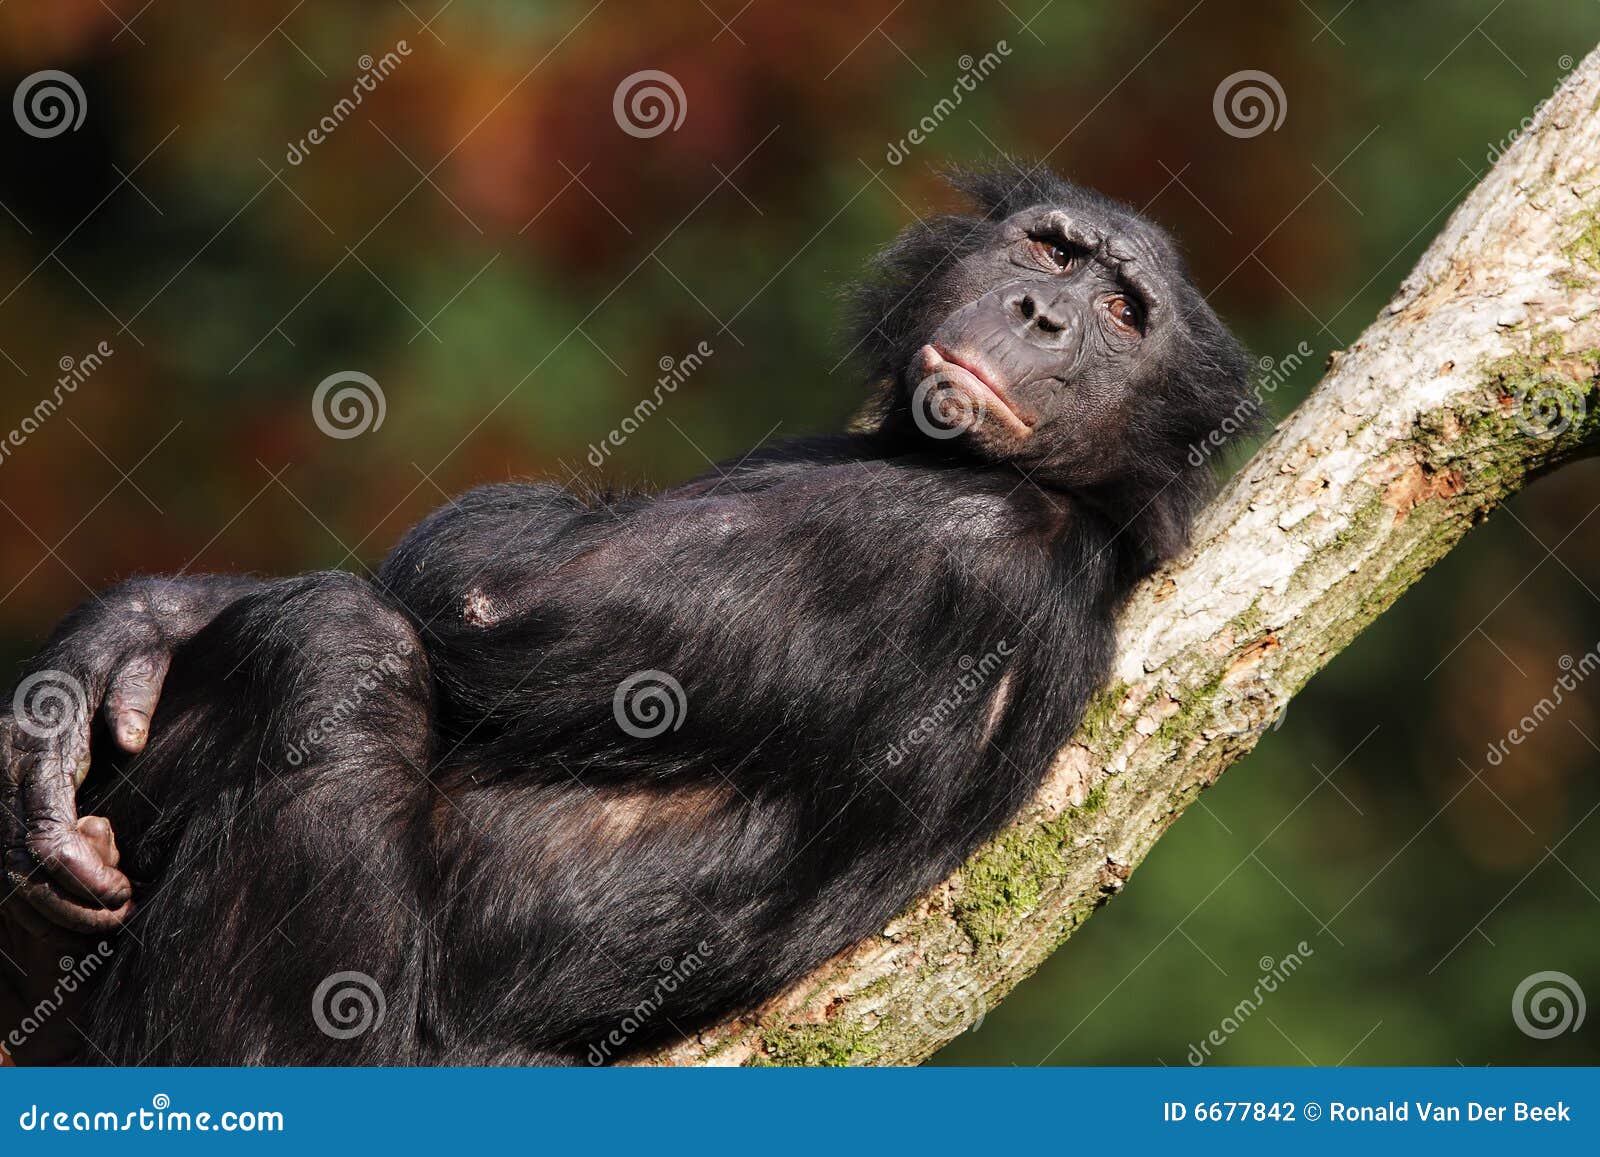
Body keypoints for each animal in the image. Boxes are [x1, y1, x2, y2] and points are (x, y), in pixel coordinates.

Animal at [0, 160, 1253, 1064]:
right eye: (1051, 247)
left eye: (1121, 310)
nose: (1042, 312)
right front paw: (134, 632)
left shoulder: (944, 541)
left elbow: (487, 589)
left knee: (337, 656)